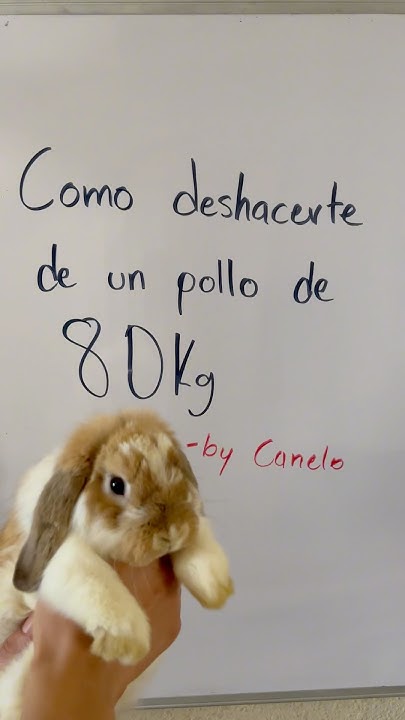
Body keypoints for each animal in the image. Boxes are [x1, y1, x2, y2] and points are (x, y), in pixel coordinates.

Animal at [0, 408, 234, 719]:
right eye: (116, 484)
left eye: (177, 470)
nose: (170, 533)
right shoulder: (61, 561)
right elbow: (91, 575)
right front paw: (127, 642)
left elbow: (200, 538)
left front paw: (217, 588)